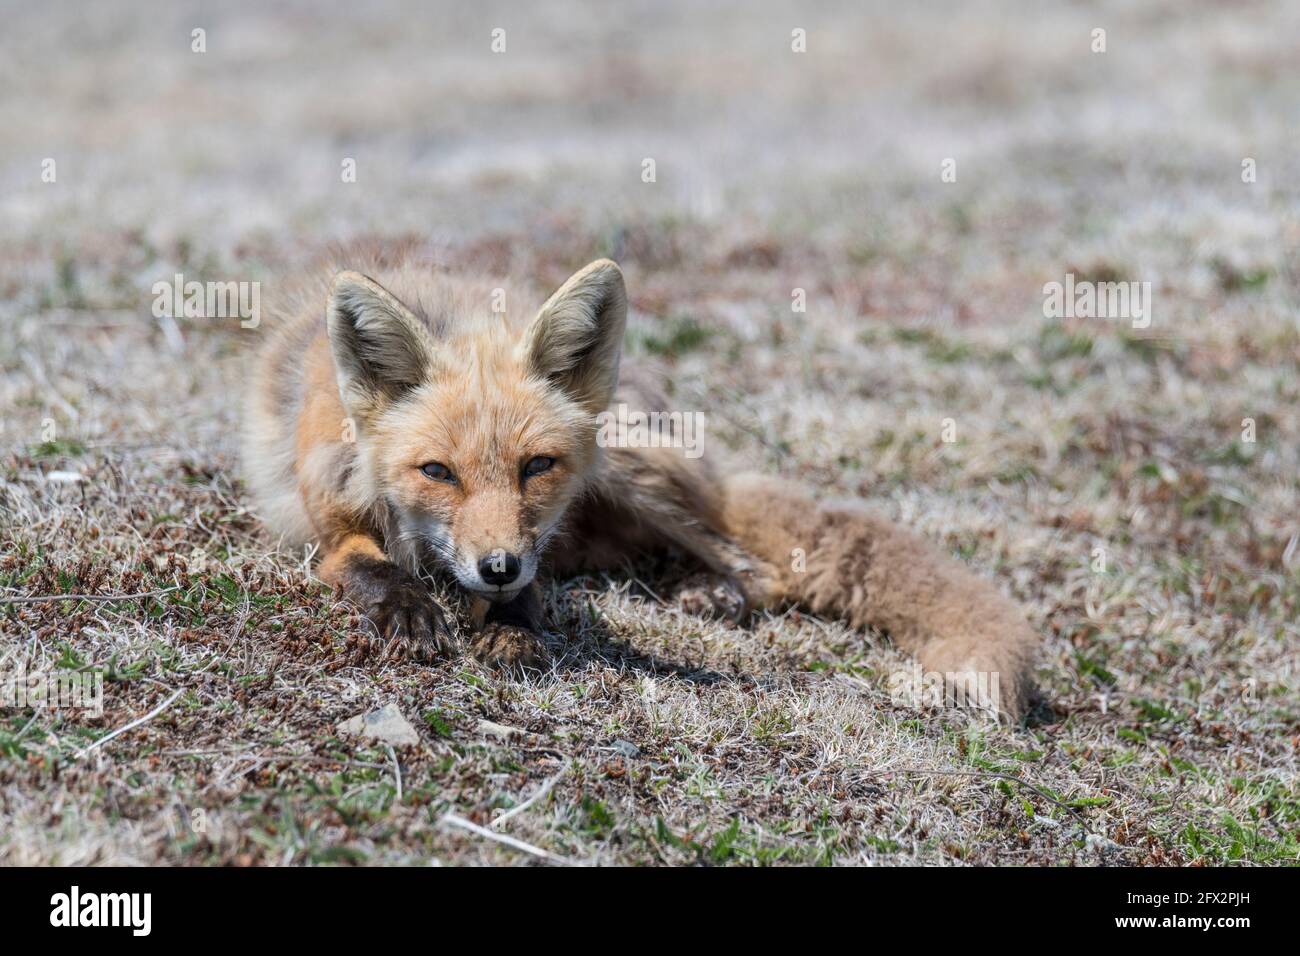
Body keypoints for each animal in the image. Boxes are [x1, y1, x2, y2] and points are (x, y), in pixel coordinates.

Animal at [243, 247, 1040, 717]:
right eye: (437, 472)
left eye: (537, 466)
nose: (496, 567)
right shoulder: (326, 520)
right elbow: (367, 565)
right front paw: (409, 608)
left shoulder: (535, 544)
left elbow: (531, 594)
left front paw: (513, 627)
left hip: (632, 469)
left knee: (759, 566)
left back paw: (714, 591)